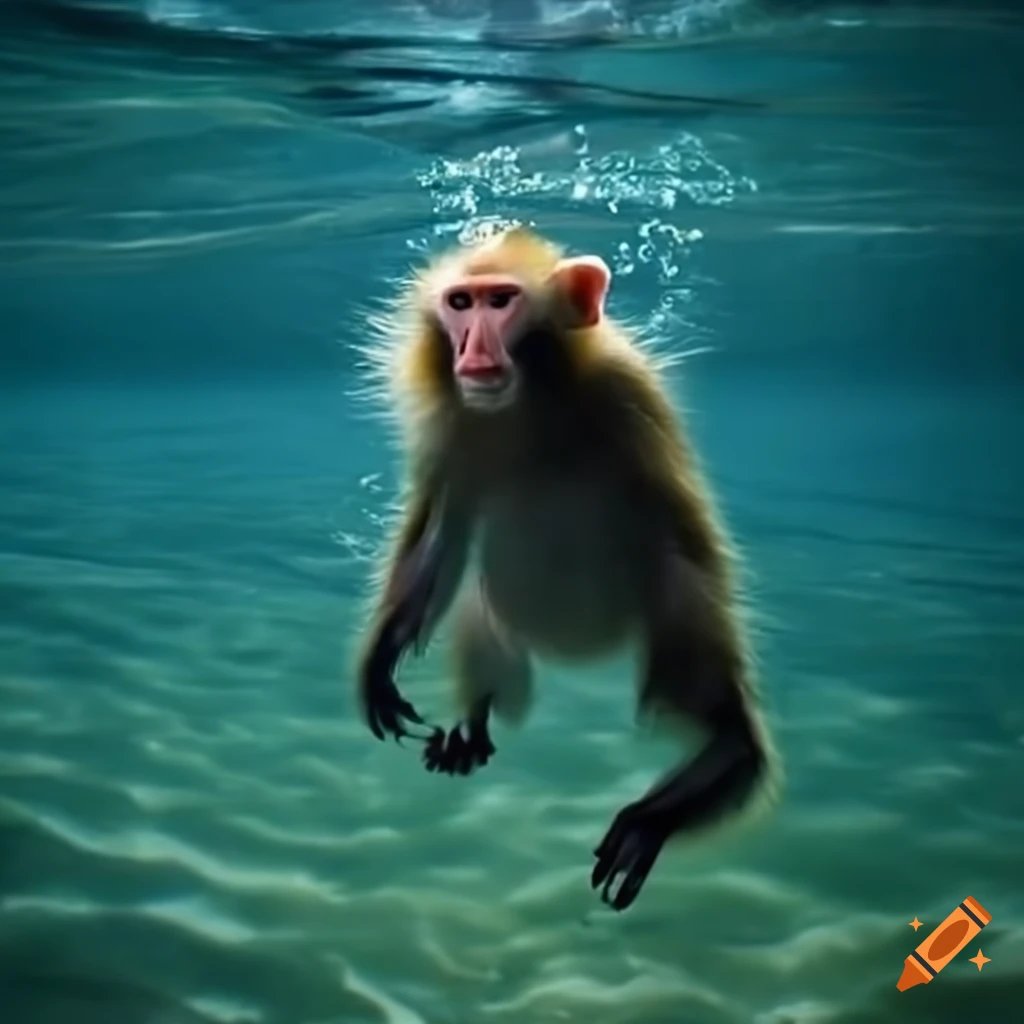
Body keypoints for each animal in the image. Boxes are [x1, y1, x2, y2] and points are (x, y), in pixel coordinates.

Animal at [354, 226, 778, 911]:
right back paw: (473, 723)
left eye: (501, 301)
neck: (527, 404)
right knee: (481, 619)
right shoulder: (451, 424)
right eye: (460, 304)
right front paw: (381, 657)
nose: (474, 350)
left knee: (678, 592)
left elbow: (688, 551)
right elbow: (442, 535)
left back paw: (721, 755)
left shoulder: (628, 394)